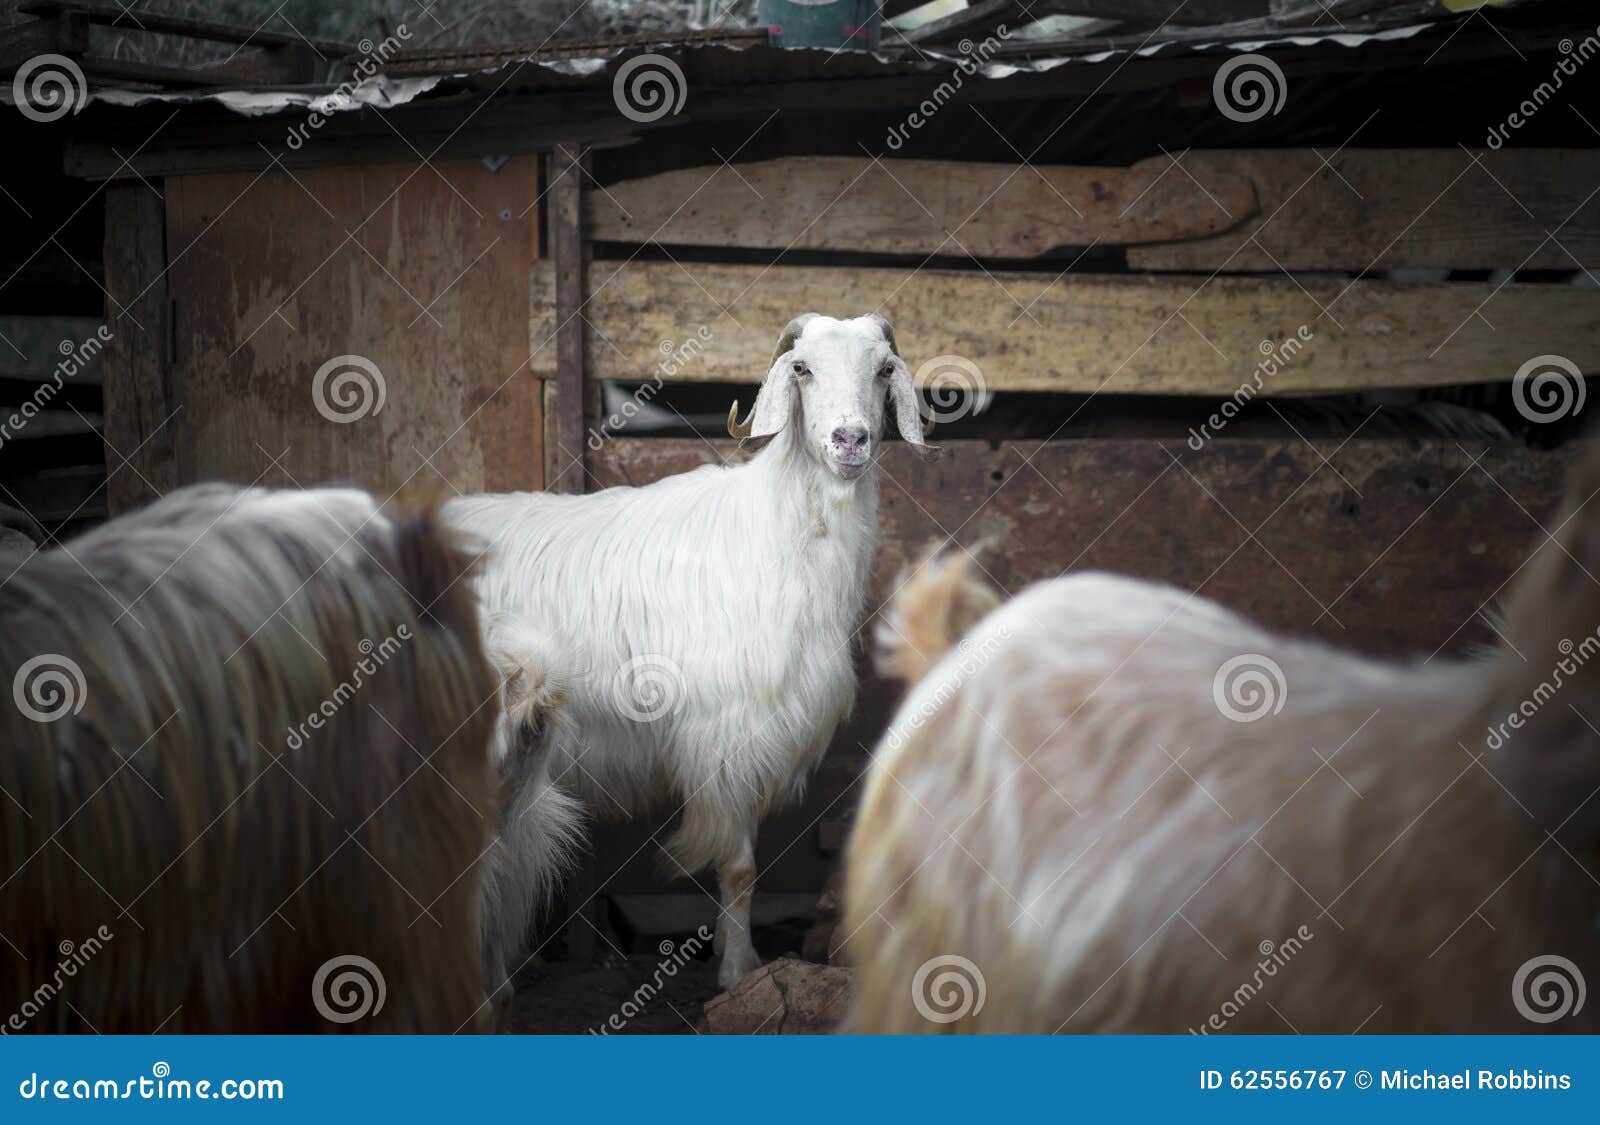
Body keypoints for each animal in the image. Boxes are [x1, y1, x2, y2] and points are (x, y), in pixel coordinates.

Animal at [446, 313, 939, 990]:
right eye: (802, 368)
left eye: (885, 369)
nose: (849, 440)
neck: (781, 535)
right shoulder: (724, 738)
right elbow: (738, 867)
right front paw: (735, 971)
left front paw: (742, 957)